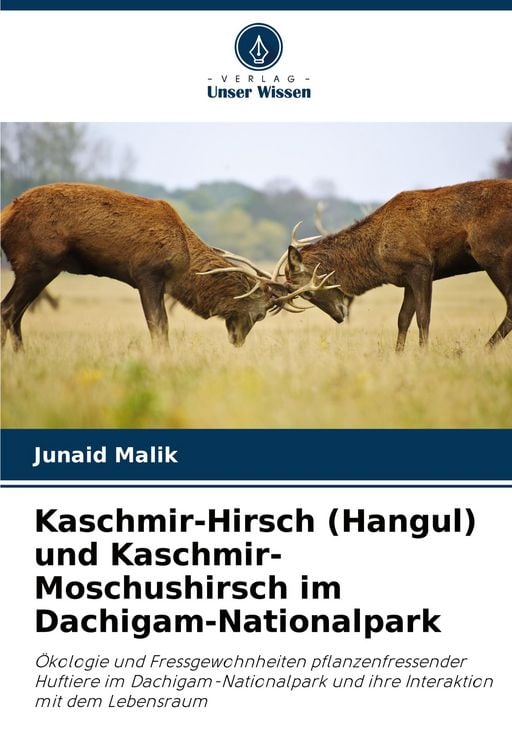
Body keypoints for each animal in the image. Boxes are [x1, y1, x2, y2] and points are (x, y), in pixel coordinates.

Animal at [0, 183, 299, 352]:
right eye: (259, 315)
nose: (237, 342)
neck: (185, 264)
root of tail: (6, 217)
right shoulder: (148, 274)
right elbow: (159, 325)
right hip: (37, 263)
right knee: (8, 309)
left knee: (16, 314)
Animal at [270, 180, 512, 350]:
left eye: (308, 293)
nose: (339, 317)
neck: (378, 252)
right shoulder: (407, 277)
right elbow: (403, 318)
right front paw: (398, 354)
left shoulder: (421, 266)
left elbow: (423, 318)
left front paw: (423, 354)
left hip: (495, 256)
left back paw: (484, 349)